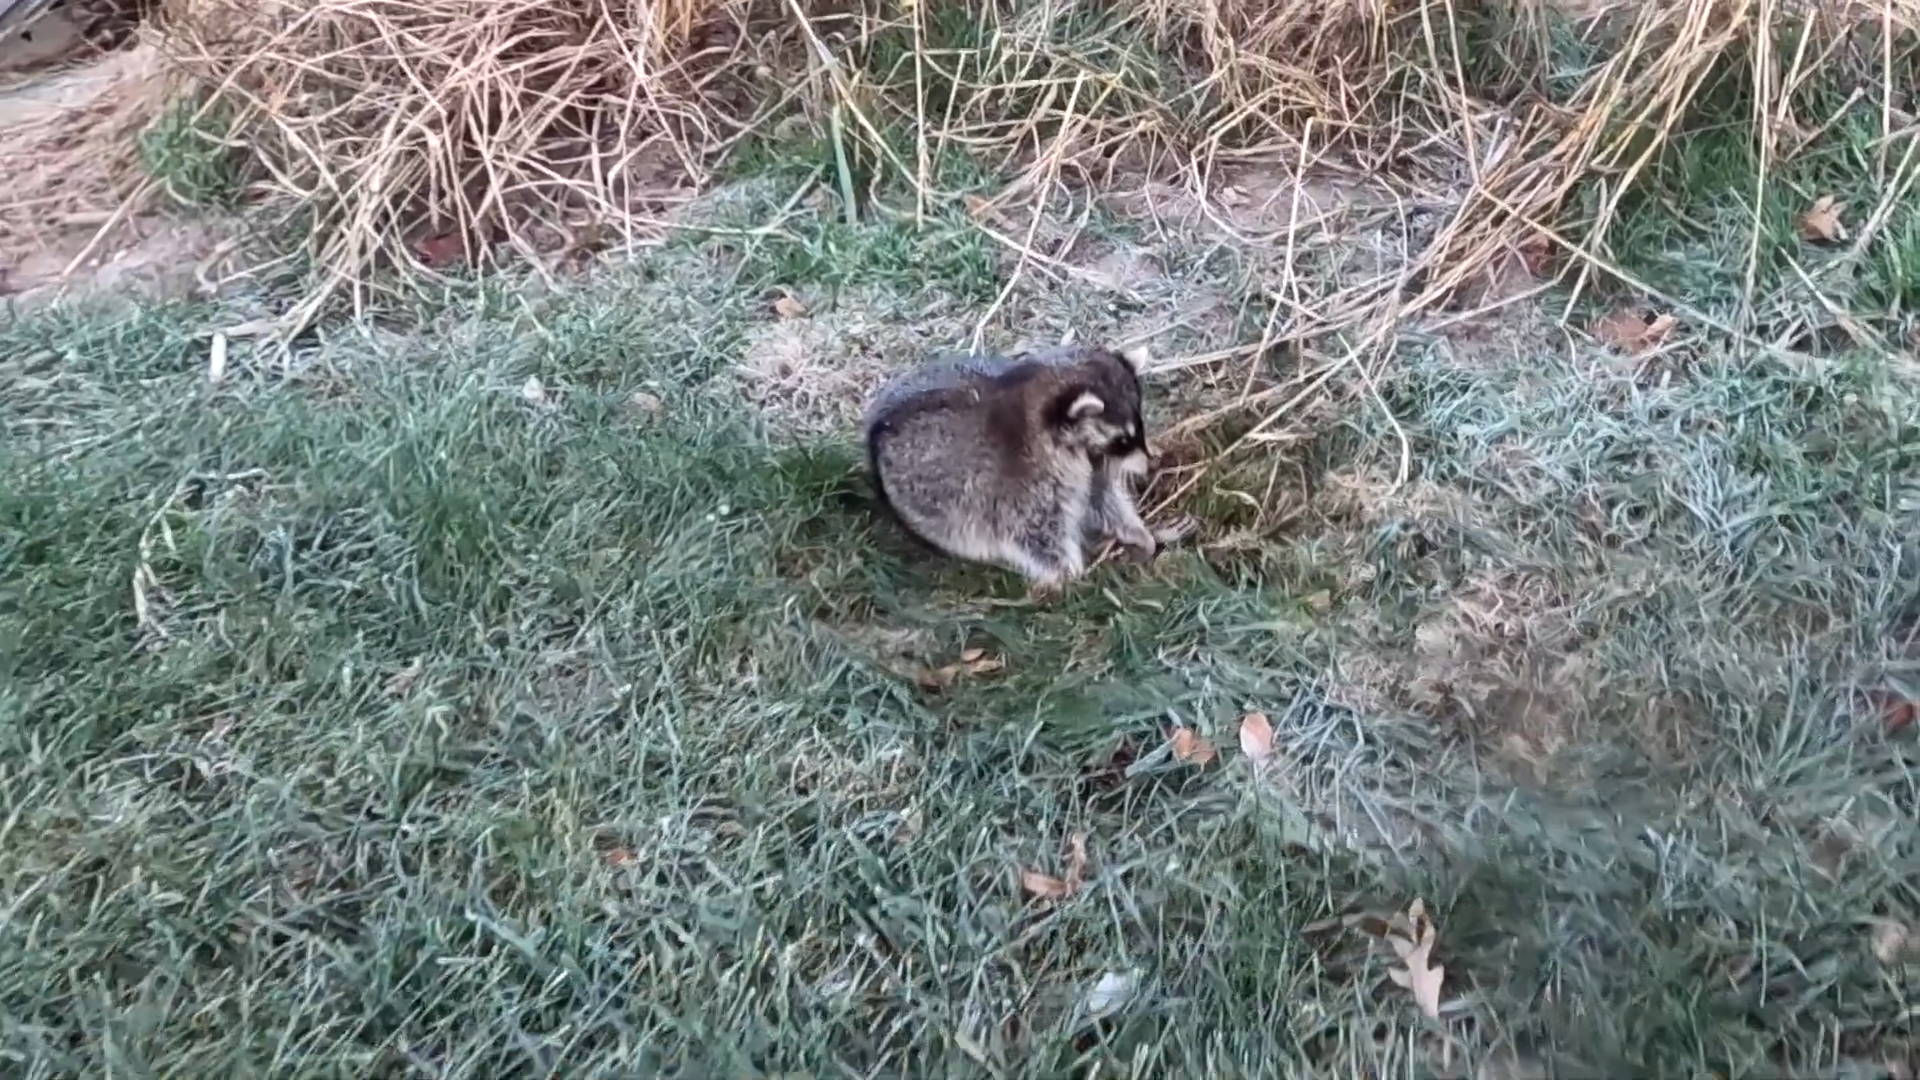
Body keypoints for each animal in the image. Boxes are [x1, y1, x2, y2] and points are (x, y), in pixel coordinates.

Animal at [862, 343, 1161, 594]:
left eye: (1140, 428)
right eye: (1123, 440)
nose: (1151, 462)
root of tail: (875, 433)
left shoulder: (1092, 461)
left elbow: (1100, 497)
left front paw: (1134, 530)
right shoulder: (1023, 479)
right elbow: (1033, 530)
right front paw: (1070, 571)